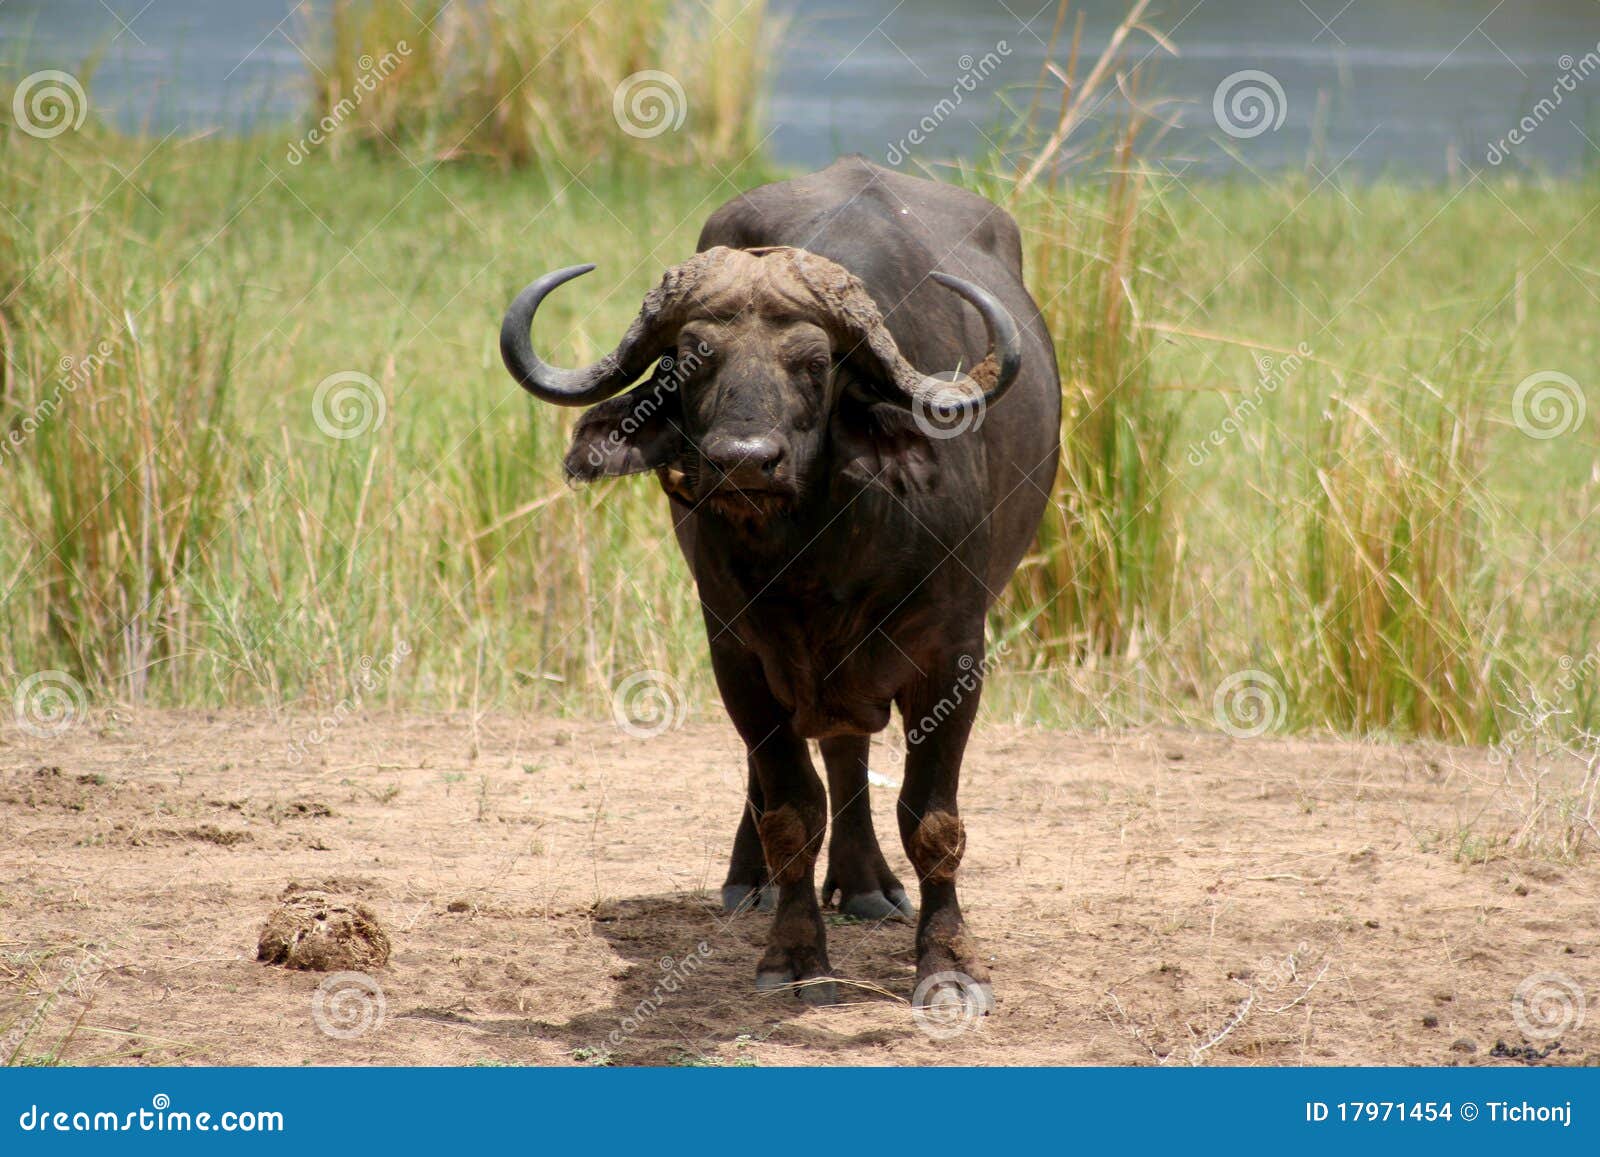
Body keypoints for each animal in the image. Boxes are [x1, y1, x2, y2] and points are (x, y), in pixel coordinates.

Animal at [500, 156, 1060, 1008]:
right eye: (691, 359)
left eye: (815, 364)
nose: (743, 460)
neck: (817, 559)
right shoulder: (737, 650)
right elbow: (792, 808)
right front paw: (794, 952)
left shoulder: (956, 652)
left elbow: (932, 818)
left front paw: (950, 964)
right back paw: (757, 879)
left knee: (848, 750)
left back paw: (867, 885)